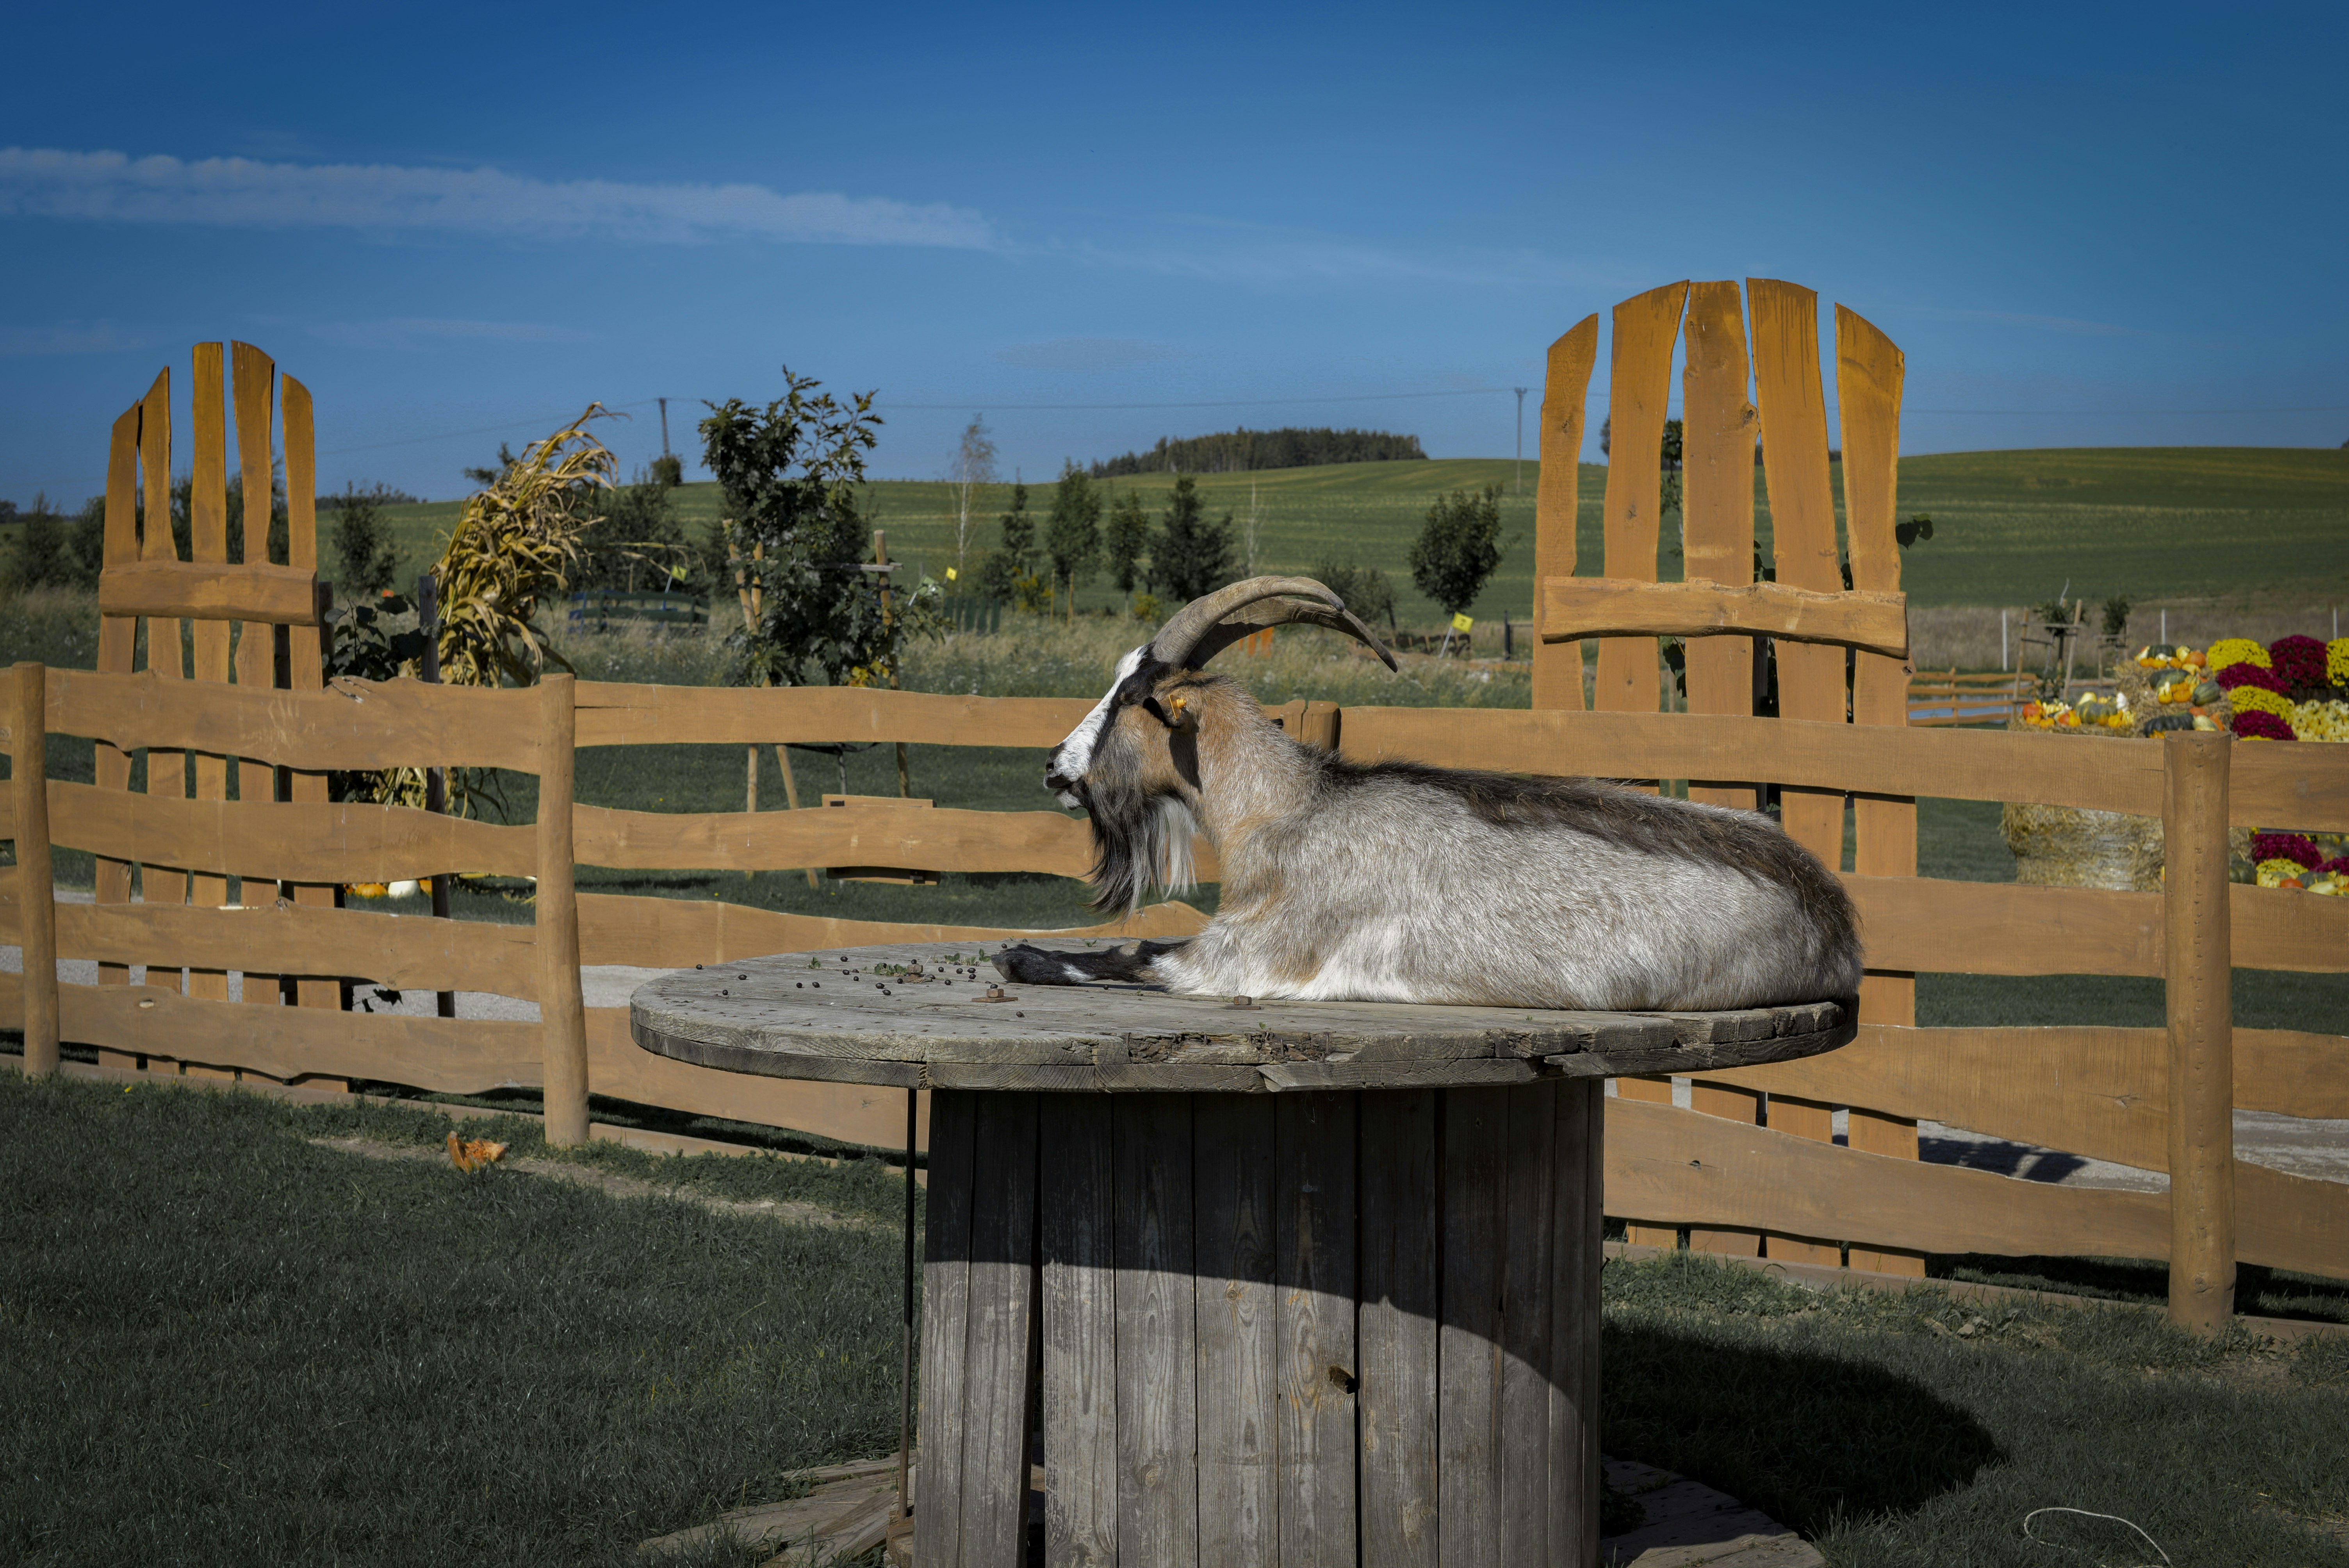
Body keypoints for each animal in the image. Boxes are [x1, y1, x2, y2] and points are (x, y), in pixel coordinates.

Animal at [999, 577, 1861, 1012]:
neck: (1293, 809)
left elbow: (1123, 957)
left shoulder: (1244, 957)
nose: (1054, 767)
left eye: (1131, 696)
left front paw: (1018, 952)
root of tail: (1838, 924)